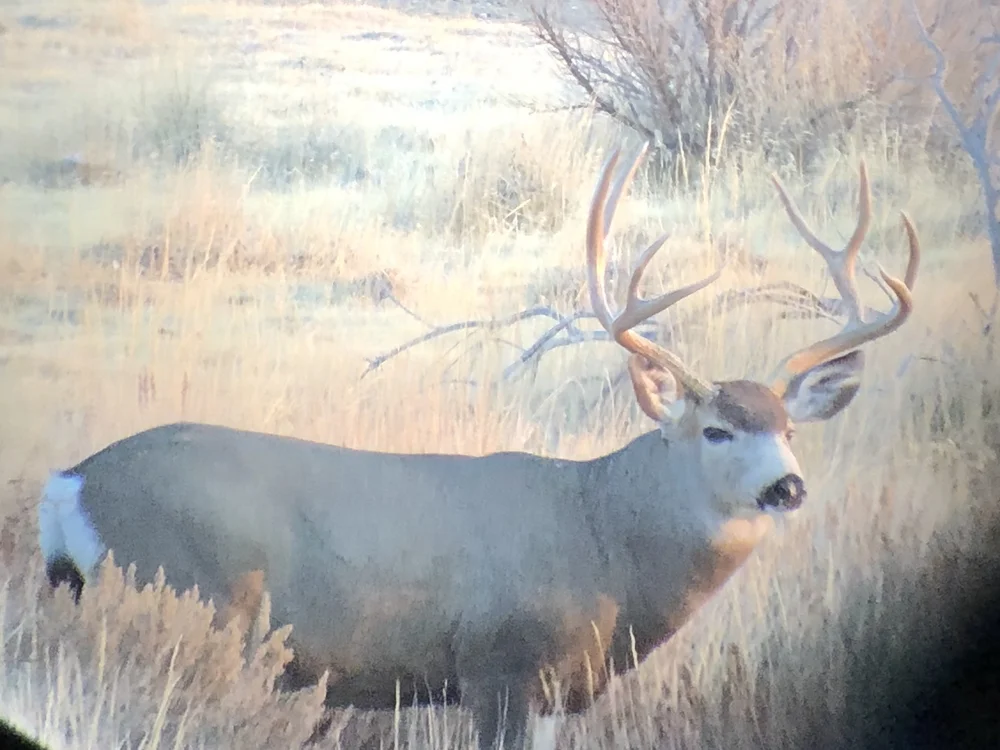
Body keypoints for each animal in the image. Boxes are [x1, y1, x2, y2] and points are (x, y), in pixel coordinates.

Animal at [37, 142, 919, 750]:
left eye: (789, 429)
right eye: (717, 429)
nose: (786, 487)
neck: (603, 544)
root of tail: (70, 482)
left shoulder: (558, 689)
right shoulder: (501, 666)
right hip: (185, 601)